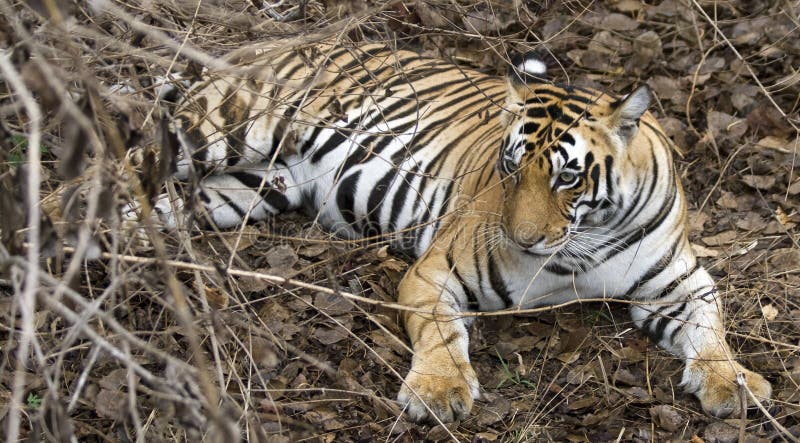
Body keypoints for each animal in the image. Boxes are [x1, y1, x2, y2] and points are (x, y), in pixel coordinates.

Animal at [135, 41, 772, 423]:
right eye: (511, 167)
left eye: (568, 176)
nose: (523, 240)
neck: (586, 244)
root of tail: (267, 42)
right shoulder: (435, 271)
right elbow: (442, 332)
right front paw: (439, 392)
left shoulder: (681, 282)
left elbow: (710, 327)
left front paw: (733, 382)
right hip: (224, 129)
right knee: (127, 163)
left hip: (253, 185)